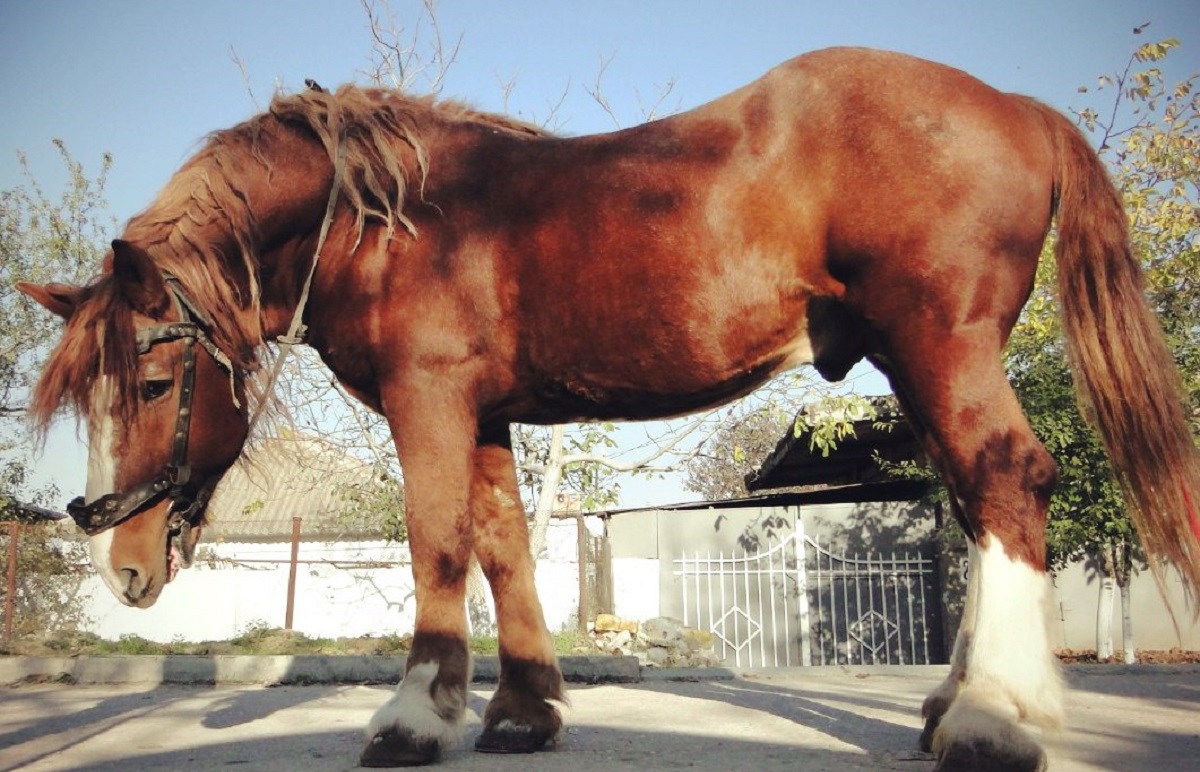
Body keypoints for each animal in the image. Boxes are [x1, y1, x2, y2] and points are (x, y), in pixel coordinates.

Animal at [20, 46, 1200, 771]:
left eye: (156, 384)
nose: (121, 566)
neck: (380, 218)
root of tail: (1019, 108)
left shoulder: (428, 399)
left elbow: (437, 540)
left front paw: (413, 713)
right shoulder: (481, 412)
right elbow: (503, 544)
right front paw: (518, 710)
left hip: (938, 342)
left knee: (1006, 478)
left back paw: (996, 718)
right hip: (921, 359)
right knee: (972, 494)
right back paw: (958, 704)